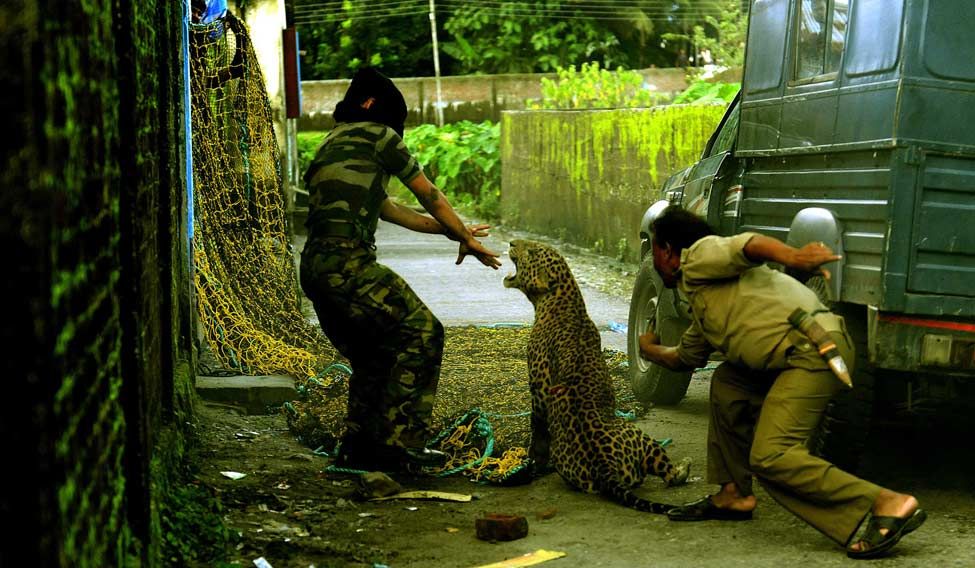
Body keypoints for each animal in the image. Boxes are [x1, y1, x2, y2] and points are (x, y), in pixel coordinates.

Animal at [503, 239, 690, 511]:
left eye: (532, 252)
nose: (512, 242)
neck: (559, 301)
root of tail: (605, 466)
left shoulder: (539, 386)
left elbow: (537, 426)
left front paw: (534, 460)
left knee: (672, 475)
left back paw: (684, 465)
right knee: (669, 476)